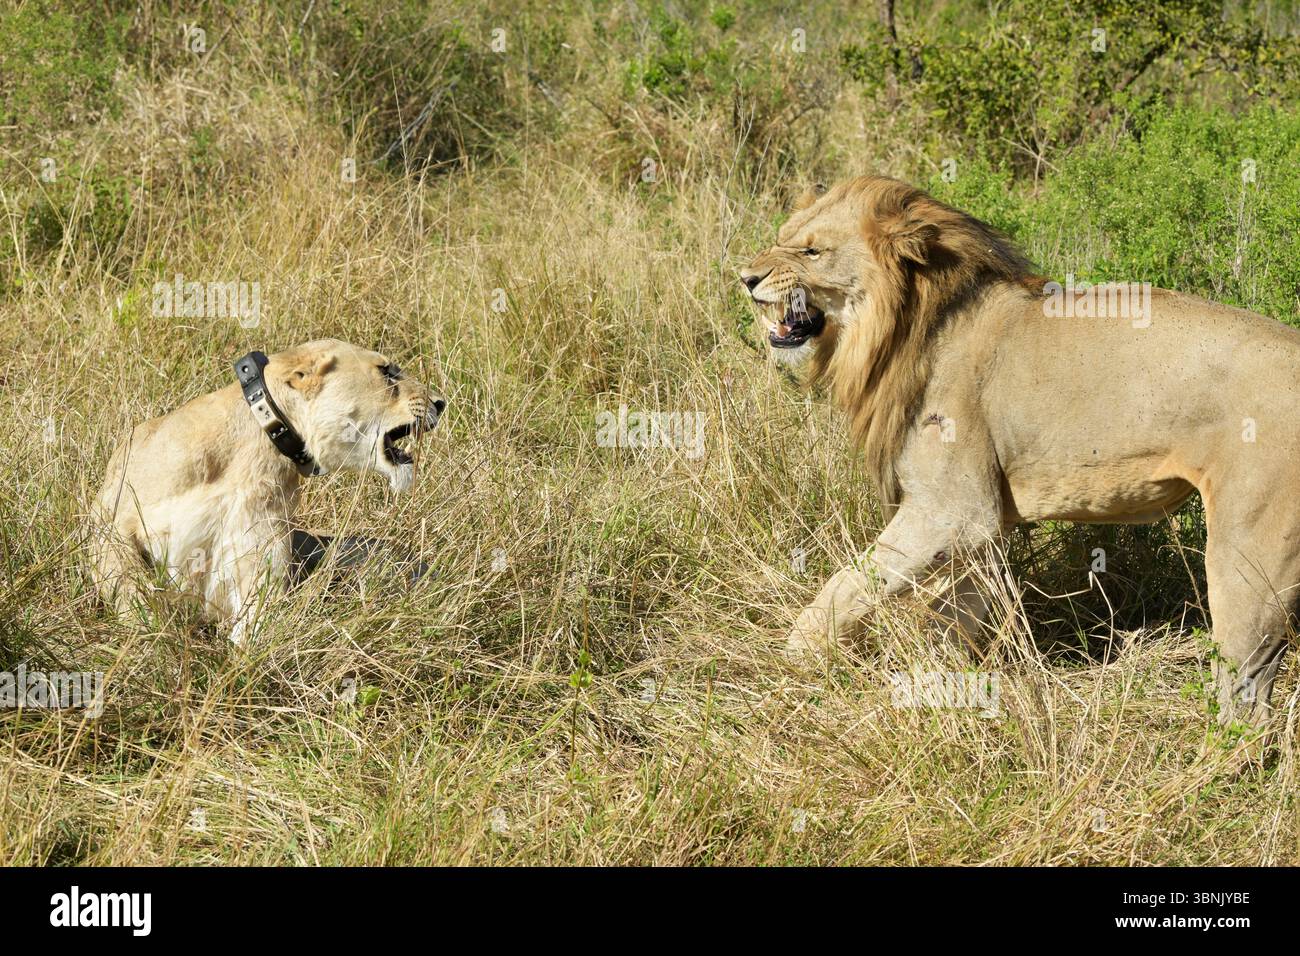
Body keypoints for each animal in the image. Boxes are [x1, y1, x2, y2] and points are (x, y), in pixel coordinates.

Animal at [89, 338, 445, 643]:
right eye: (385, 371)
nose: (441, 403)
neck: (250, 456)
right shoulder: (107, 524)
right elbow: (127, 582)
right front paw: (155, 635)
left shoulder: (257, 557)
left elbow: (258, 622)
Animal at [741, 175, 1300, 725]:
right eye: (783, 237)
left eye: (812, 251)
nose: (746, 278)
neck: (903, 325)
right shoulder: (983, 523)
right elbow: (955, 616)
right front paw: (941, 691)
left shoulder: (956, 510)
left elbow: (847, 583)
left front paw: (796, 661)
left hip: (1248, 557)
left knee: (1248, 697)